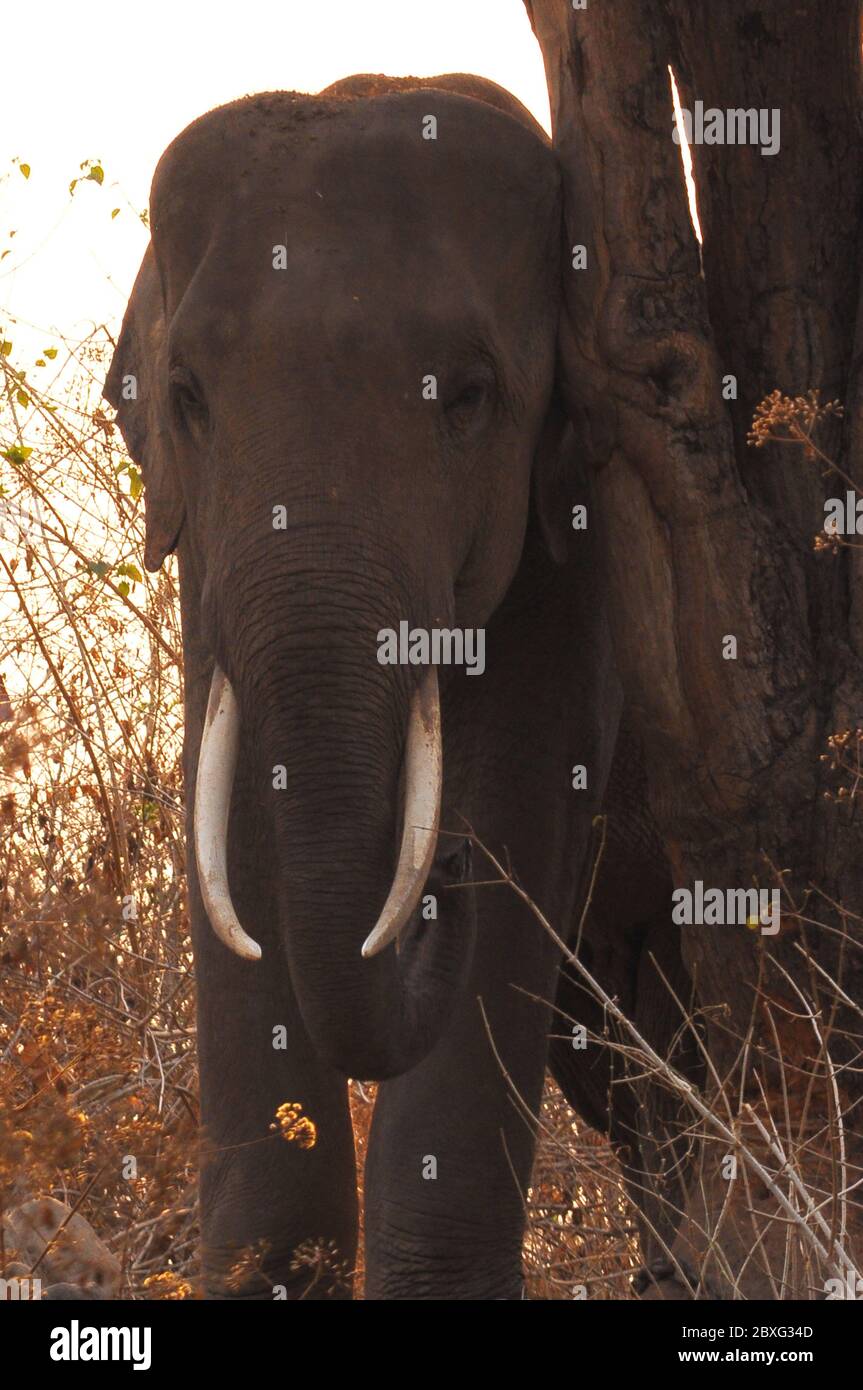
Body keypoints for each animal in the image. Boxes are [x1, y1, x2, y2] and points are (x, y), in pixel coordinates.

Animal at [104, 71, 697, 1300]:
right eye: (186, 396)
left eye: (466, 397)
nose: (442, 877)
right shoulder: (202, 550)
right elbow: (232, 829)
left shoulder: (575, 535)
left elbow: (522, 802)